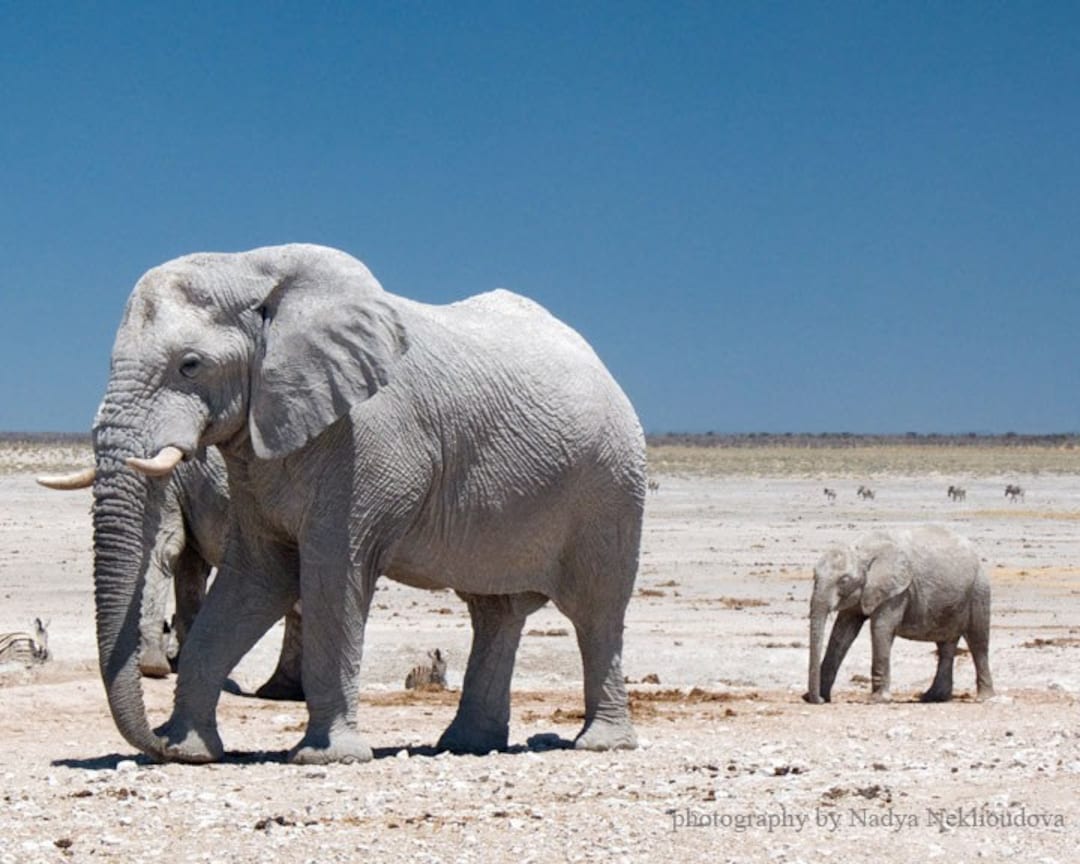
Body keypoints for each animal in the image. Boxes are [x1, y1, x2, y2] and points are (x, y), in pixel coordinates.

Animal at [88, 243, 646, 764]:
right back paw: (466, 745)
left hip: (610, 486)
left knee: (595, 611)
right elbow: (257, 576)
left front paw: (326, 756)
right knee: (496, 614)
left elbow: (333, 575)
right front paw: (190, 751)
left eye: (190, 365)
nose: (154, 741)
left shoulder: (369, 443)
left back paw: (600, 744)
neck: (255, 269)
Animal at [803, 525, 994, 704]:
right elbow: (841, 633)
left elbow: (880, 629)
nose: (818, 700)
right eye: (814, 576)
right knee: (945, 645)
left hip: (979, 589)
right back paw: (933, 697)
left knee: (978, 642)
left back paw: (983, 698)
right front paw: (819, 697)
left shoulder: (897, 591)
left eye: (844, 580)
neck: (863, 549)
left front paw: (877, 700)